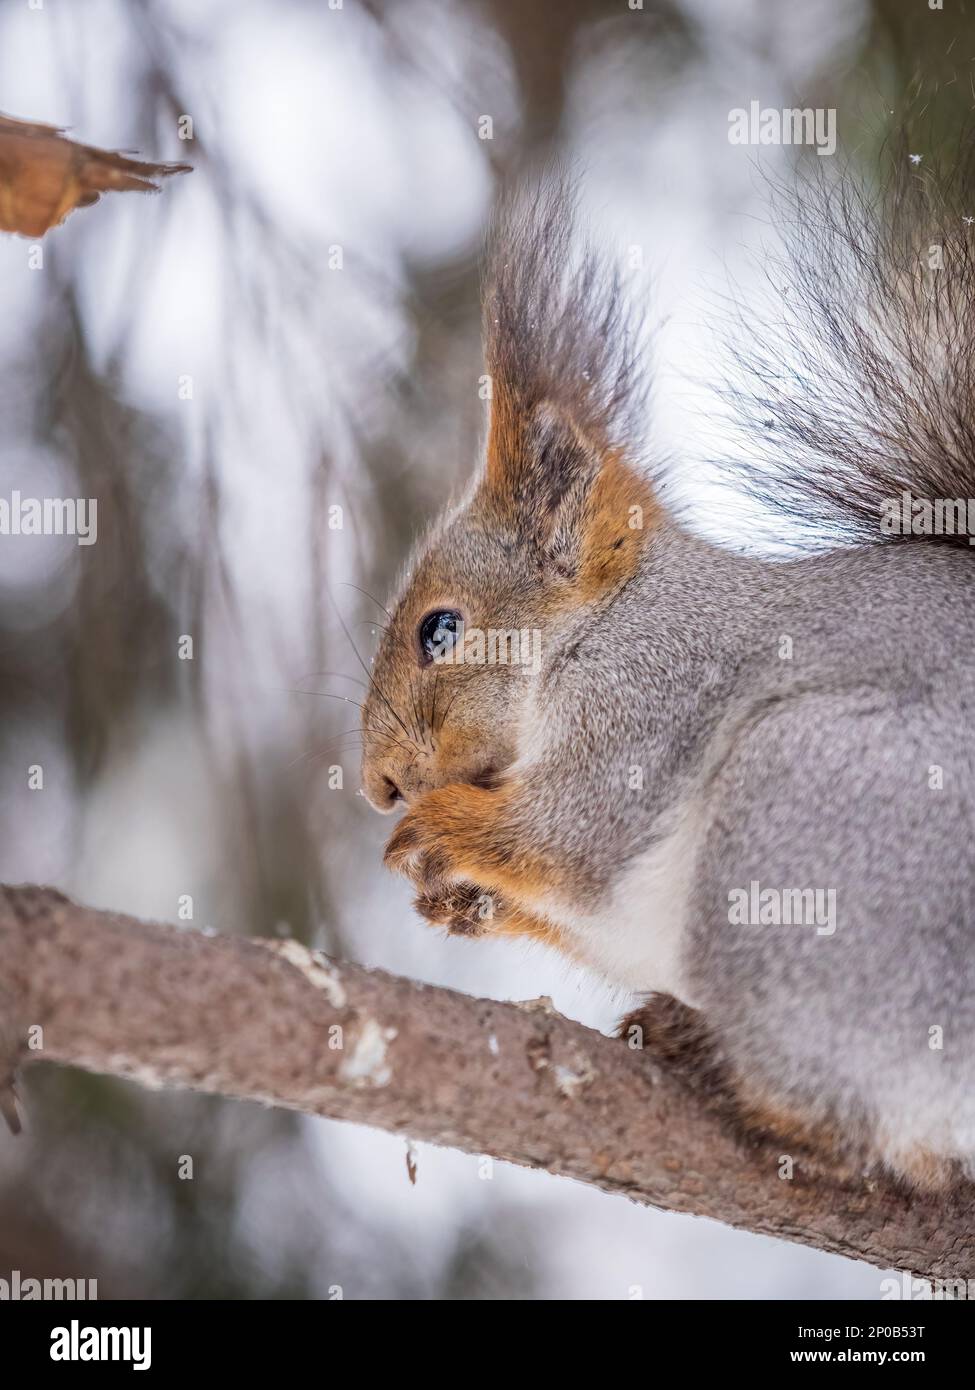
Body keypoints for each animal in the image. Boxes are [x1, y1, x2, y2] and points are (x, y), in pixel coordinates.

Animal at [359, 154, 975, 1191]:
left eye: (439, 631)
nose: (377, 785)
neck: (596, 629)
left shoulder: (646, 702)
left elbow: (575, 836)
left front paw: (440, 830)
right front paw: (457, 899)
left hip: (807, 818)